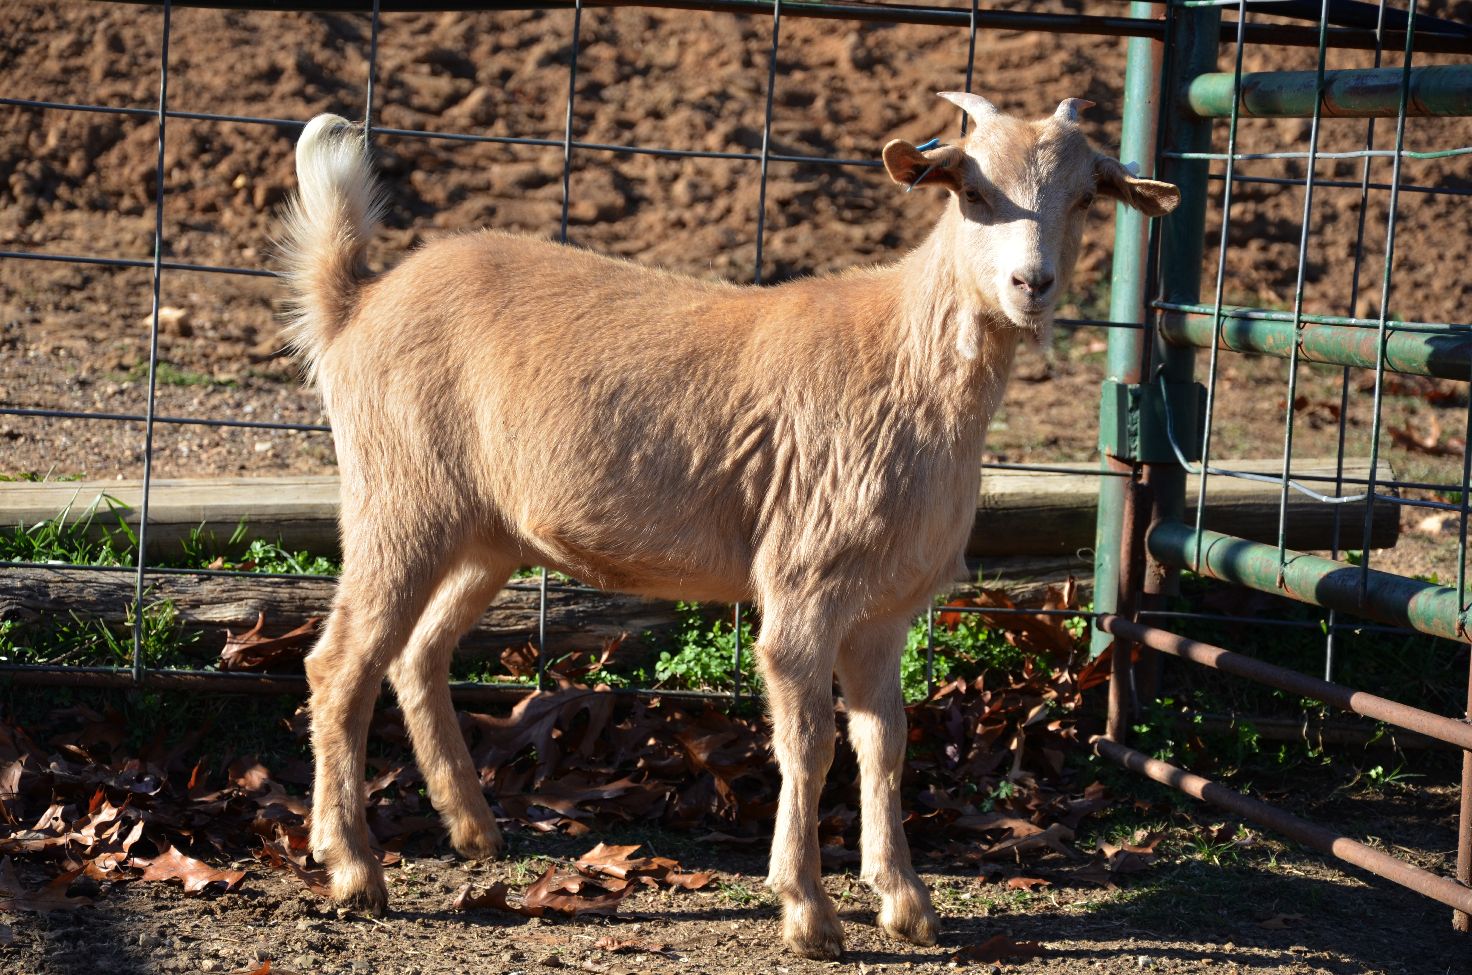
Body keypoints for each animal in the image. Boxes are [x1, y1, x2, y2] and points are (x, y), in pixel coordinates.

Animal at [280, 92, 1178, 960]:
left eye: (1085, 197)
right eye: (972, 191)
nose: (1034, 283)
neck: (904, 361)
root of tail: (353, 305)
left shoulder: (887, 606)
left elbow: (885, 741)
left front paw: (905, 901)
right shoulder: (805, 578)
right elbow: (810, 741)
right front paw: (809, 911)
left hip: (482, 529)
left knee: (418, 652)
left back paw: (474, 829)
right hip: (398, 496)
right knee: (340, 662)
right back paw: (353, 867)